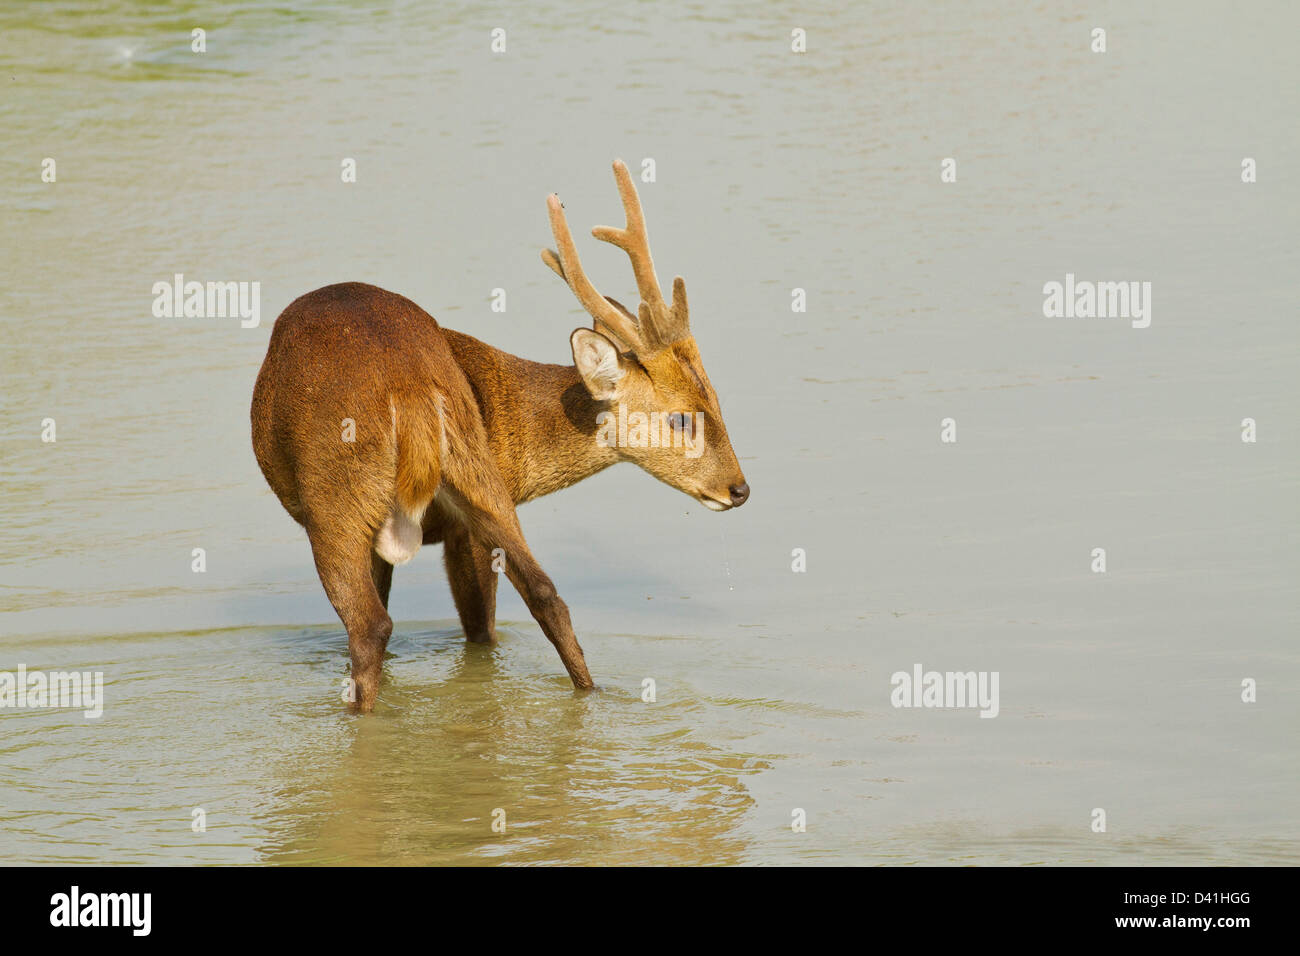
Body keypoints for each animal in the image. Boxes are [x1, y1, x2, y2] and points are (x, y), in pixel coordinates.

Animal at [250, 160, 749, 712]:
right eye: (683, 417)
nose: (738, 488)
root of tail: (410, 386)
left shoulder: (451, 532)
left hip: (337, 496)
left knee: (372, 625)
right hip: (472, 479)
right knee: (547, 595)